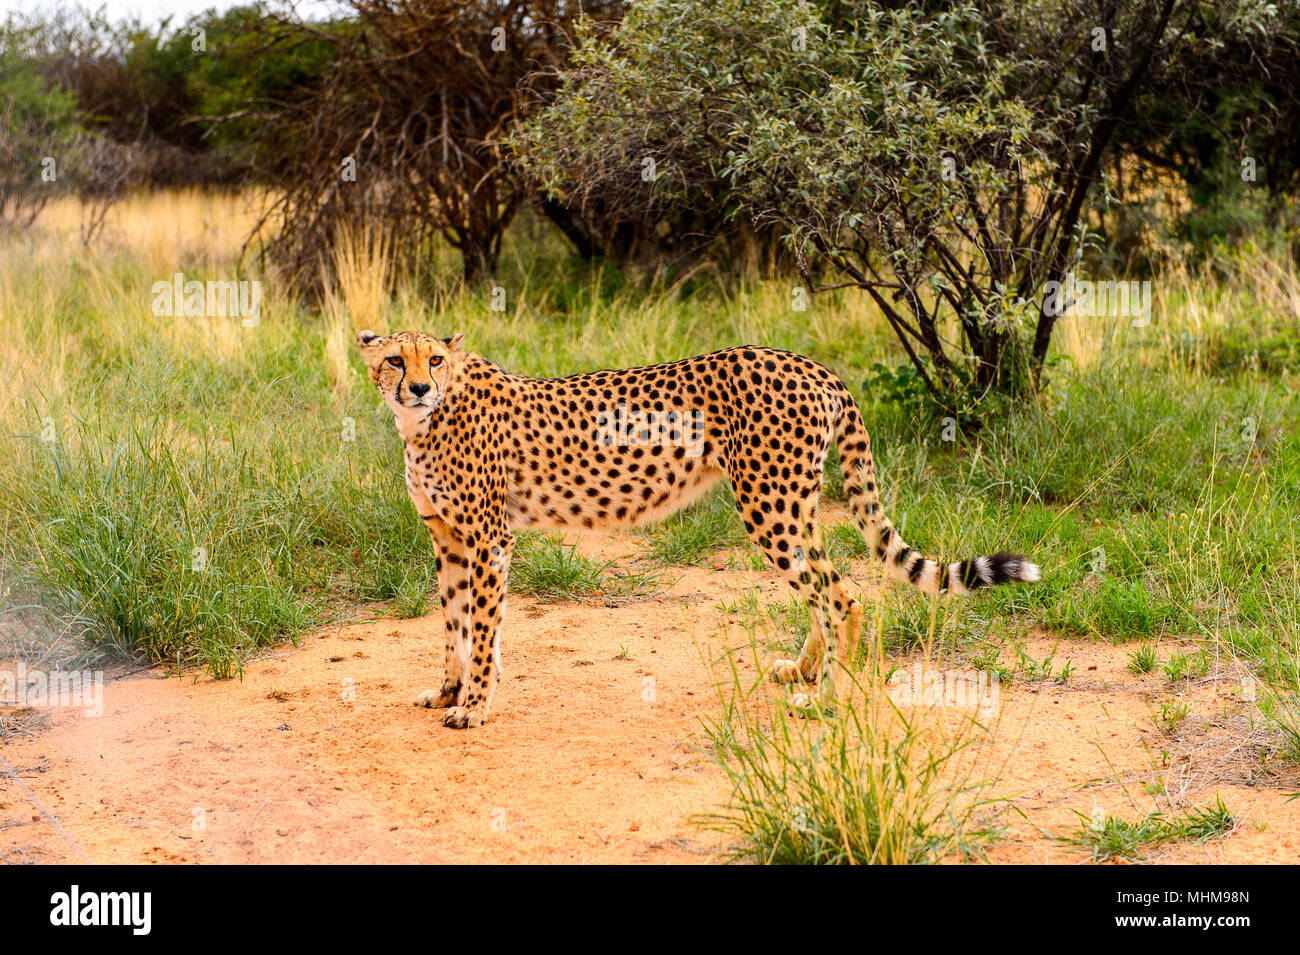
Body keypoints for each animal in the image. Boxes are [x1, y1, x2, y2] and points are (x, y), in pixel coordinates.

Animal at [356, 328, 1039, 728]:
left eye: (434, 359)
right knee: (827, 586)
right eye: (394, 359)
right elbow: (455, 623)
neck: (424, 422)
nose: (417, 386)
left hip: (770, 505)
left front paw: (473, 705)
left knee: (842, 595)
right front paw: (450, 691)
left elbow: (481, 626)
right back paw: (804, 672)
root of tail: (812, 365)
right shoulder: (448, 539)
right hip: (795, 505)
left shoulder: (489, 540)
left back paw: (826, 699)